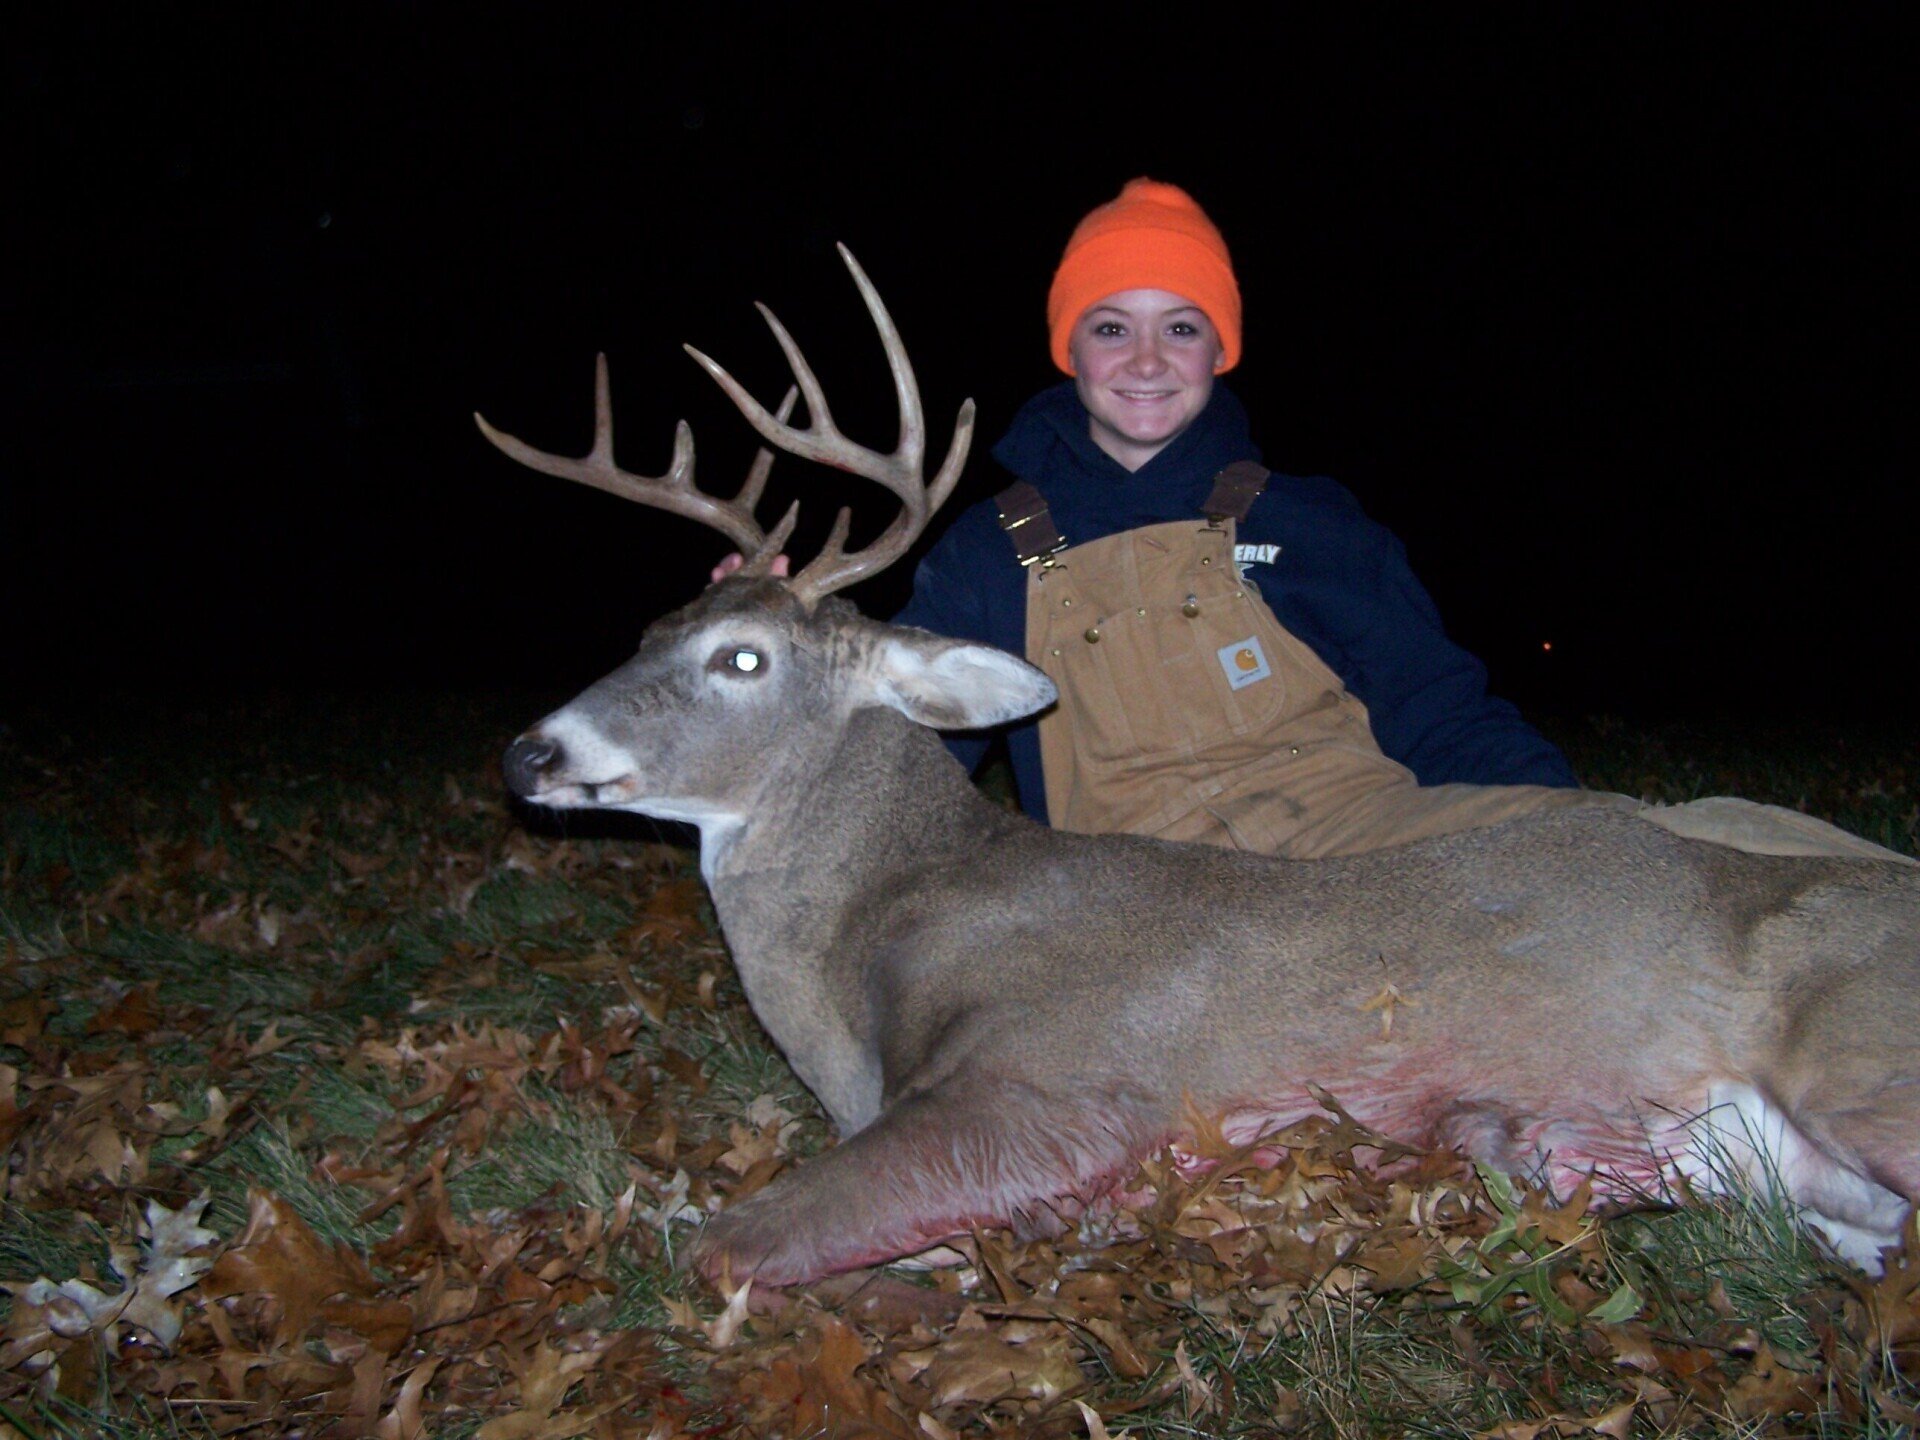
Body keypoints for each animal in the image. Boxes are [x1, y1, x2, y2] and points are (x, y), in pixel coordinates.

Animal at [479, 247, 1920, 1287]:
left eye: (742, 658)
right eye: (646, 632)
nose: (531, 750)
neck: (868, 949)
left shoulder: (1060, 1083)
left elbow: (721, 1250)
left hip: (1861, 1050)